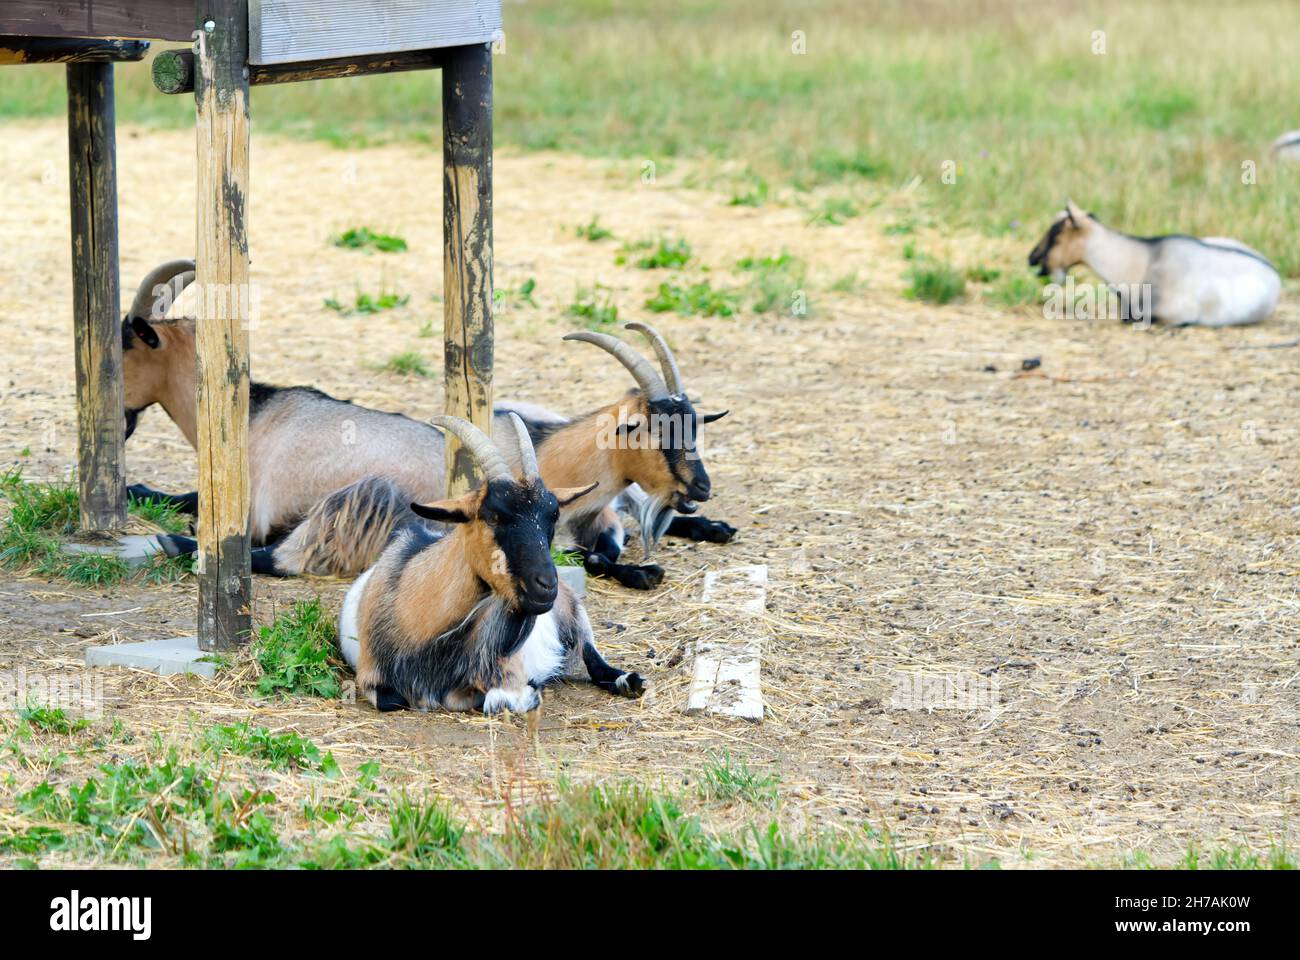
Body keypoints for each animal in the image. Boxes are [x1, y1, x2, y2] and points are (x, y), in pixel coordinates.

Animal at [337, 413, 644, 713]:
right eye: (493, 516)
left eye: (553, 515)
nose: (545, 585)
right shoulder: (371, 677)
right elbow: (393, 701)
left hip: (573, 613)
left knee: (590, 653)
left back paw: (629, 680)